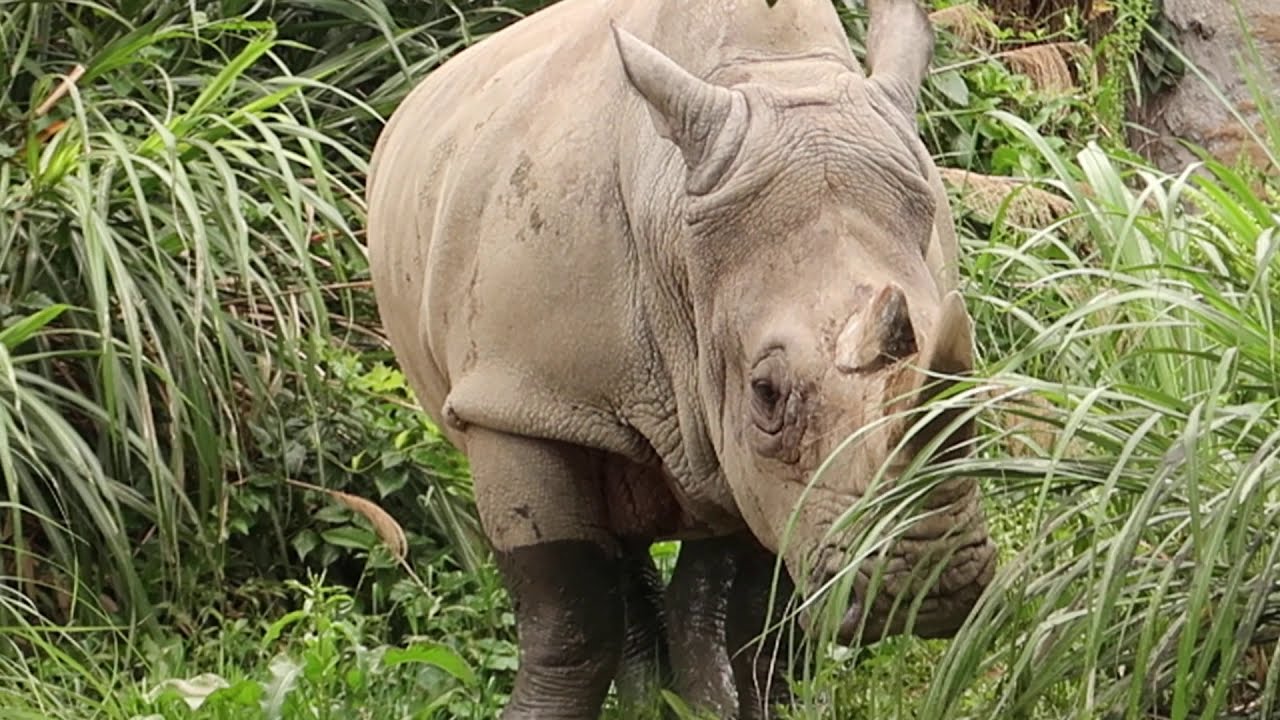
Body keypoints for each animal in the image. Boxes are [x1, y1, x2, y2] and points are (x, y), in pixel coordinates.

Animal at [366, 0, 997, 717]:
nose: (934, 588)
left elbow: (748, 613)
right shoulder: (521, 398)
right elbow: (572, 616)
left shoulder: (770, 469)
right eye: (765, 392)